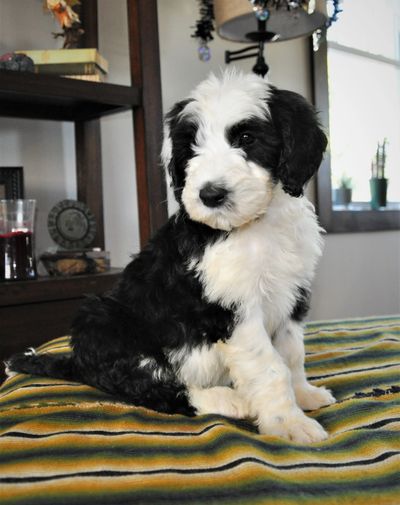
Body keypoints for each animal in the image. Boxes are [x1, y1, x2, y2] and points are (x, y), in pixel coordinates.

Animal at [7, 70, 336, 440]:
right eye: (191, 148)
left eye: (247, 138)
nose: (210, 195)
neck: (254, 225)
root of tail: (77, 362)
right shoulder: (232, 309)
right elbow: (270, 367)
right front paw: (289, 424)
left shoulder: (293, 293)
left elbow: (292, 353)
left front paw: (304, 395)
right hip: (103, 320)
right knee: (150, 388)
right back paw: (230, 400)